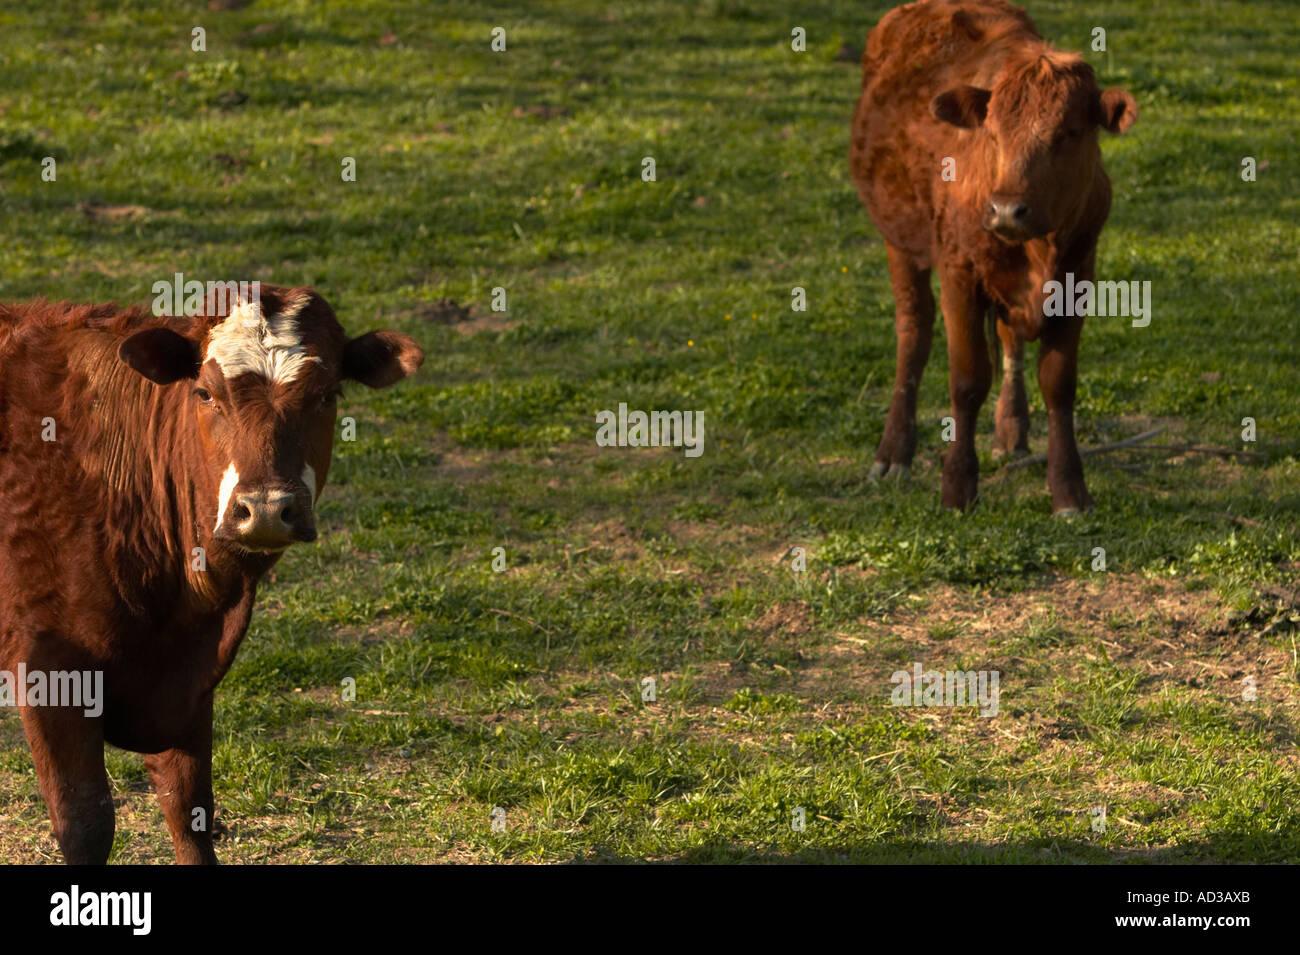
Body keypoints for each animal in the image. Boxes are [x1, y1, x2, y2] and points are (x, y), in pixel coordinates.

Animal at [0, 285, 423, 863]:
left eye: (328, 395)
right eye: (204, 393)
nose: (265, 509)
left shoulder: (192, 681)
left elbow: (189, 809)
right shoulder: (47, 663)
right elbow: (85, 823)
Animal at [849, 0, 1137, 513]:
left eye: (1070, 132)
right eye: (993, 133)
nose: (1006, 210)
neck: (1040, 245)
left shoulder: (1079, 274)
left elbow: (1058, 383)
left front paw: (1069, 489)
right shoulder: (959, 273)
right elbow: (967, 380)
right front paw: (958, 486)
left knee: (1008, 339)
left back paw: (1010, 432)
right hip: (900, 242)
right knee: (913, 333)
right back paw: (894, 452)